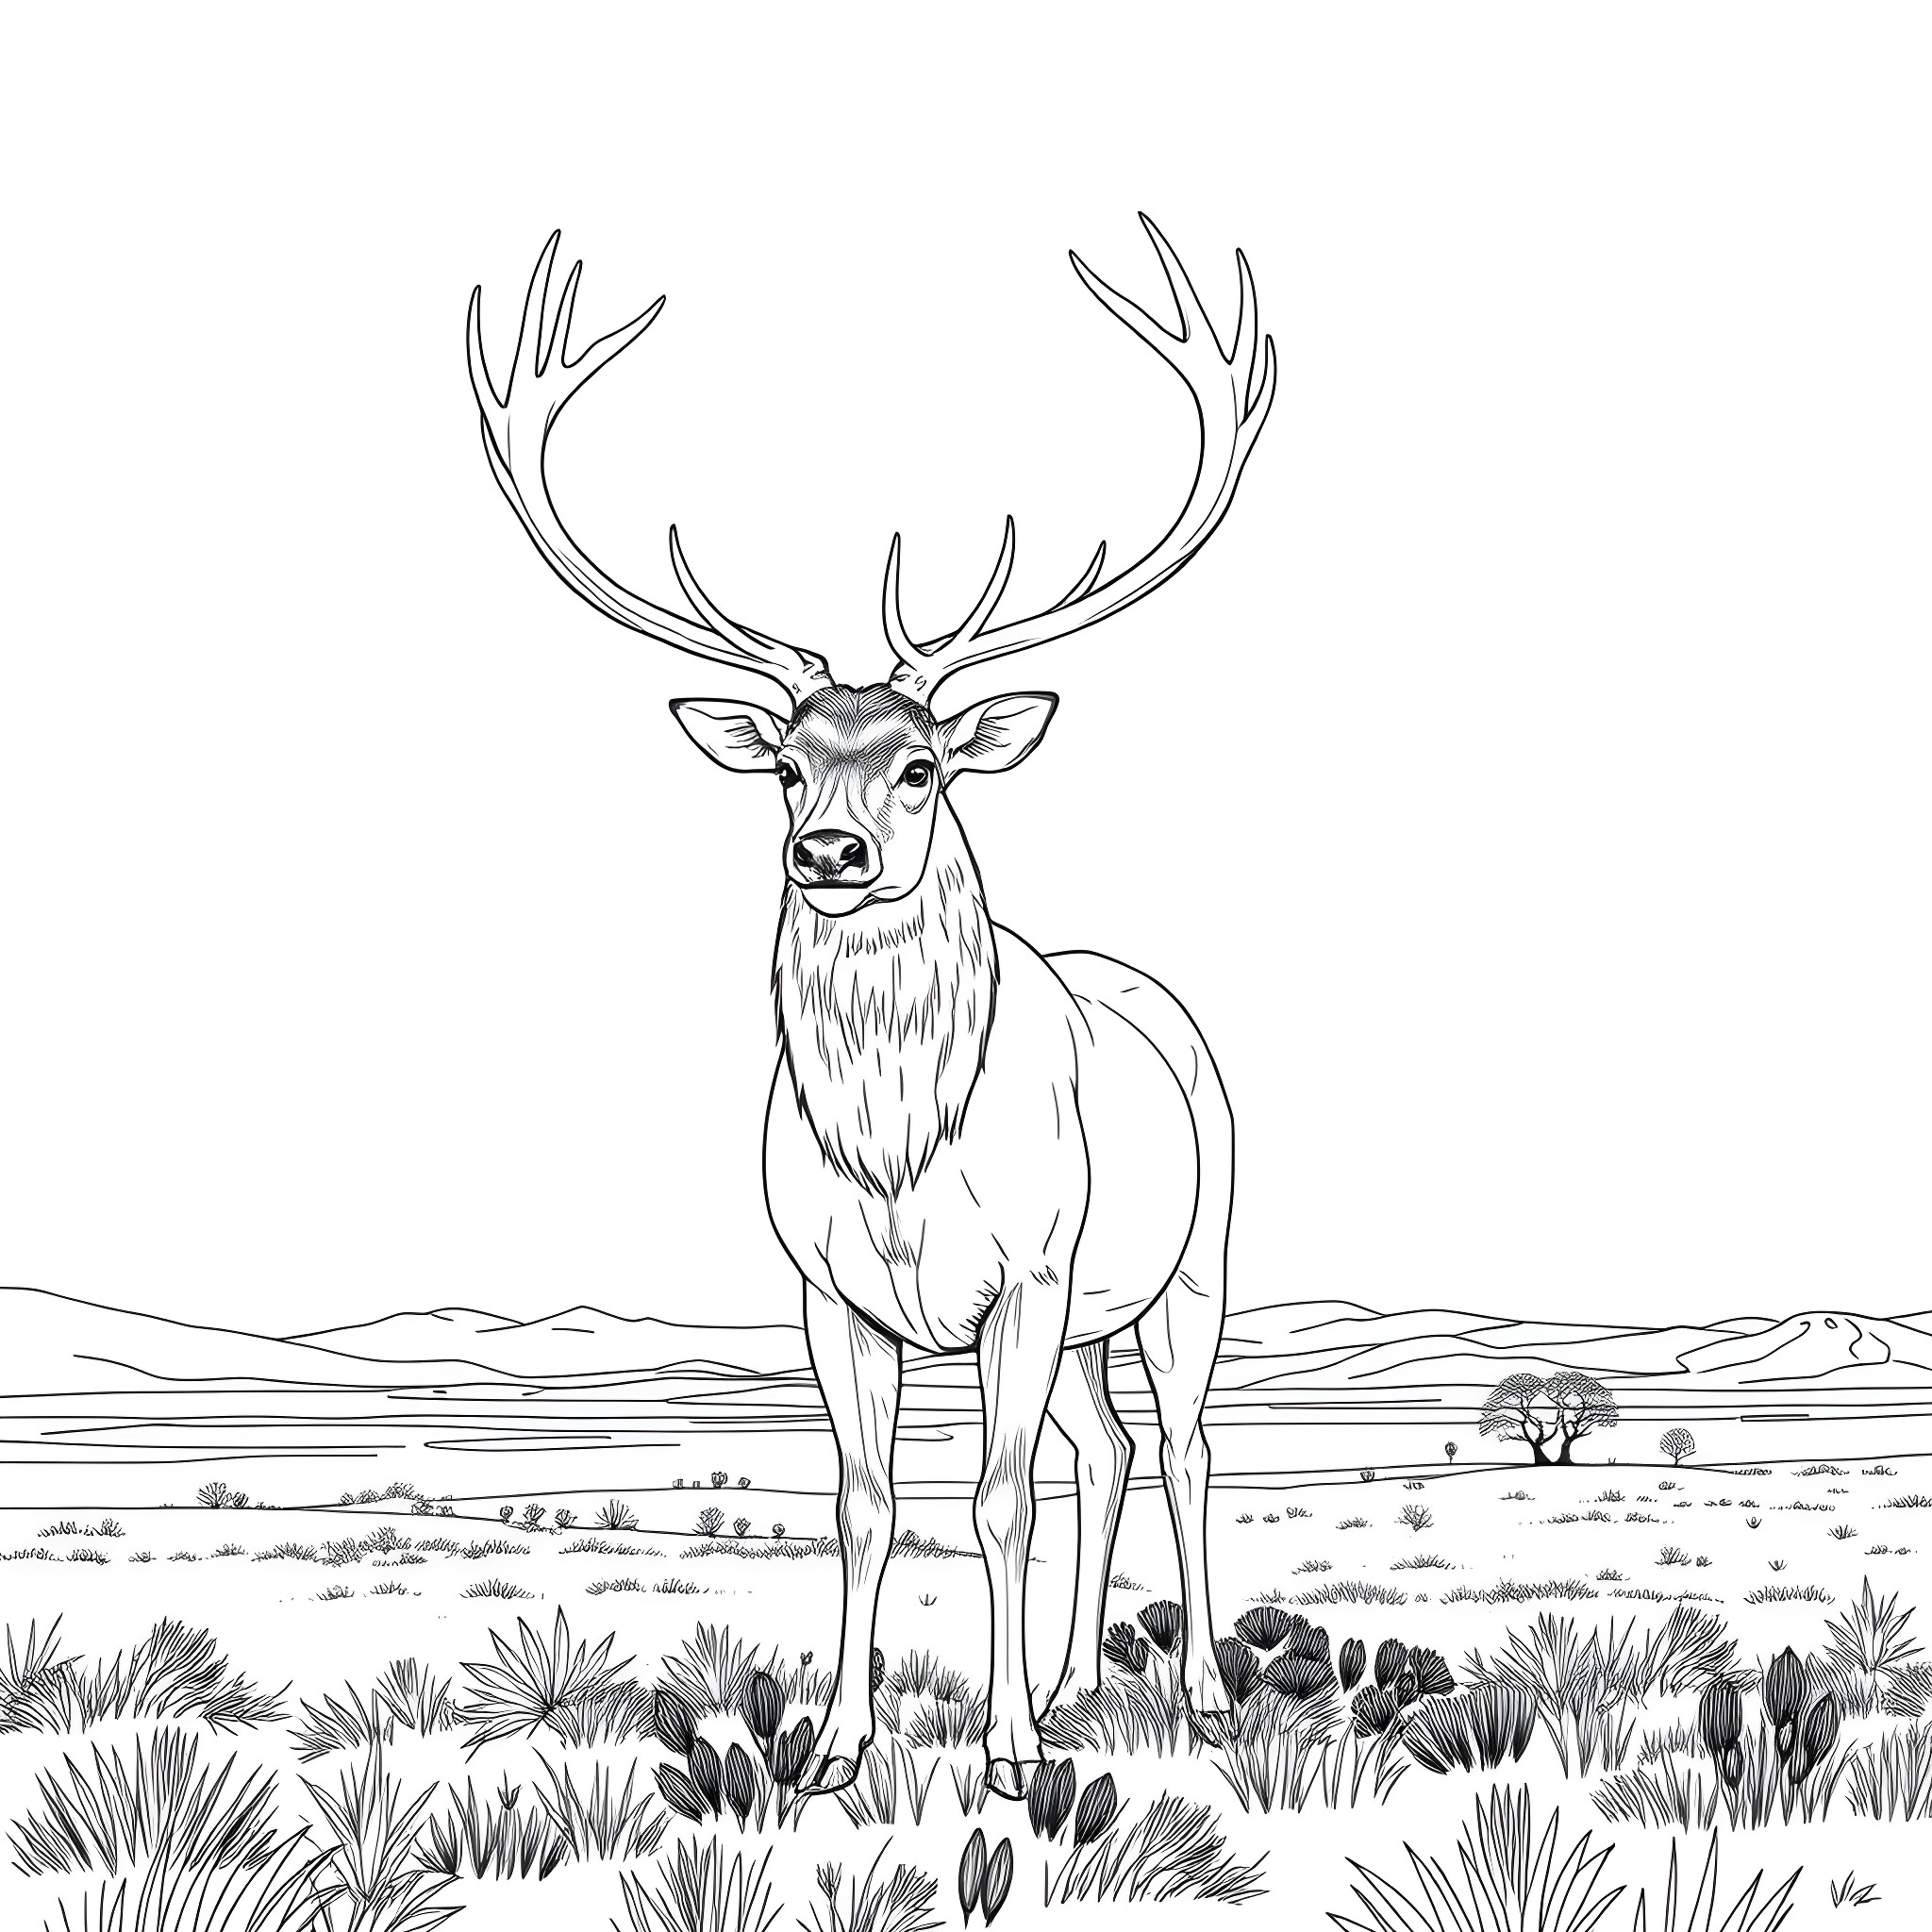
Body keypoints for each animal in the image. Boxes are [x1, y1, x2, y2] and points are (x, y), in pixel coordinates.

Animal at [465, 217, 1274, 1798]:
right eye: (785, 763)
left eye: (921, 765)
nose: (827, 852)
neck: (900, 1147)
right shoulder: (828, 1289)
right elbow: (865, 1499)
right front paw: (838, 1744)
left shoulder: (1027, 1271)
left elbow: (997, 1498)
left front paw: (1010, 1753)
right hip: (1091, 1319)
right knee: (1104, 1445)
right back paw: (1080, 1676)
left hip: (1188, 1266)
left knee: (1186, 1445)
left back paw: (1200, 1694)